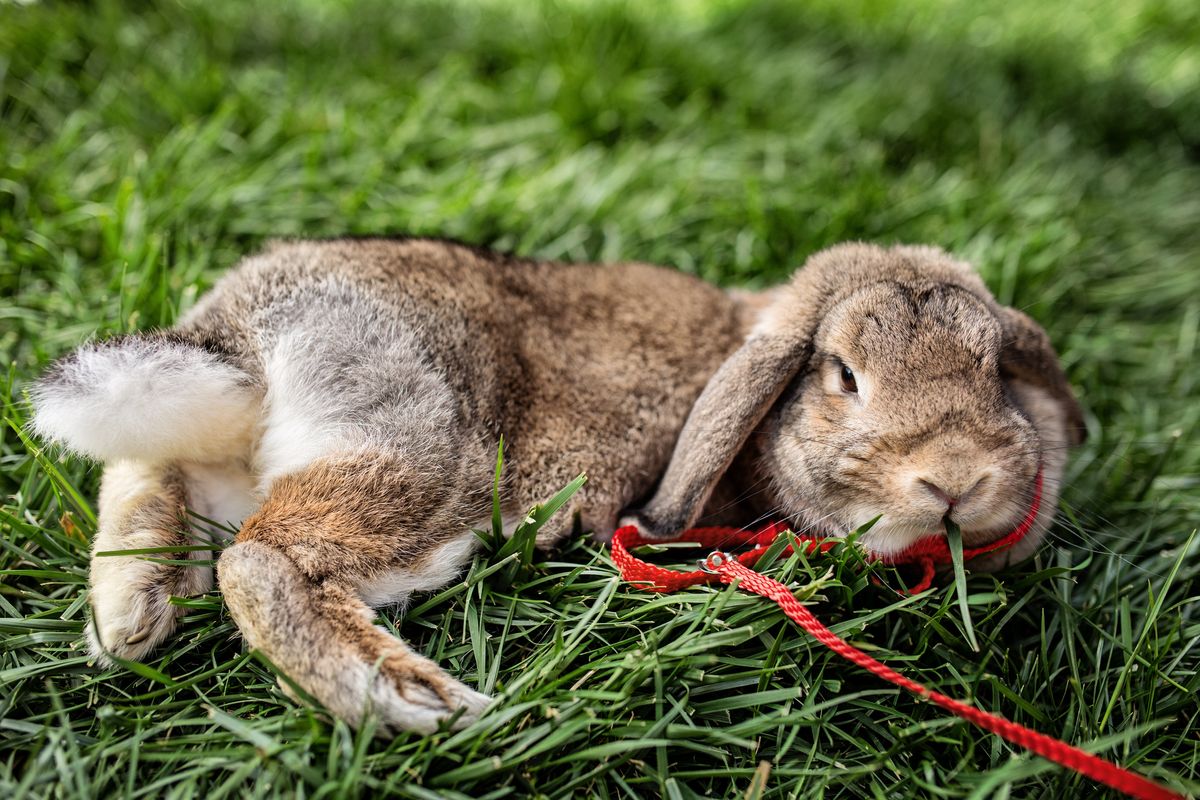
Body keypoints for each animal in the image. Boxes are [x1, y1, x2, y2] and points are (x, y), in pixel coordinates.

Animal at [30, 238, 1086, 736]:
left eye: (995, 371)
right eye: (843, 377)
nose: (955, 481)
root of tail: (247, 336)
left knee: (145, 470)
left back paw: (130, 610)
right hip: (427, 470)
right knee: (266, 558)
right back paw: (412, 699)